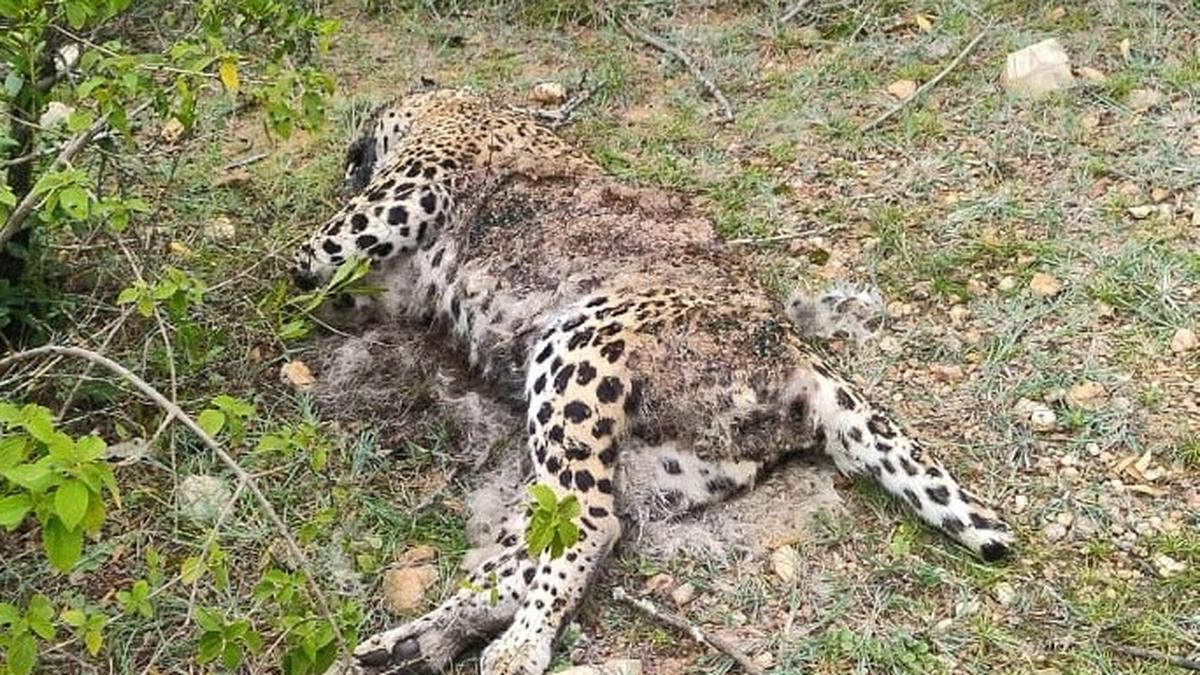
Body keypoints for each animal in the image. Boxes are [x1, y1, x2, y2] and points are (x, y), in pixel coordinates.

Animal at [290, 87, 1016, 675]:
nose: (345, 161)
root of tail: (803, 357)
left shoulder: (409, 187)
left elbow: (312, 253)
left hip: (579, 346)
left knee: (590, 522)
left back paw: (517, 648)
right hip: (652, 461)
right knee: (549, 539)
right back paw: (414, 644)